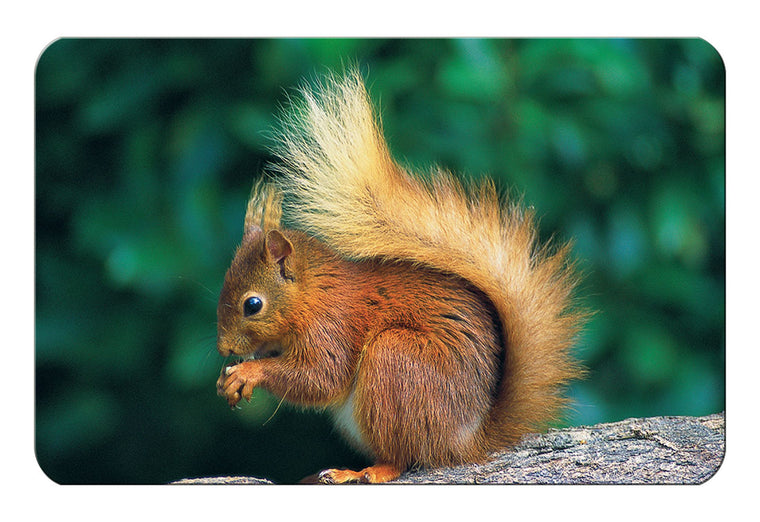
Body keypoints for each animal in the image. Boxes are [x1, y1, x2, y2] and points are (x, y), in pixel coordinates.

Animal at [216, 70, 585, 484]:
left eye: (252, 305)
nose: (224, 348)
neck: (313, 294)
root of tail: (464, 441)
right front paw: (228, 378)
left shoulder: (331, 327)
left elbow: (321, 377)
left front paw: (248, 371)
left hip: (394, 362)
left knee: (404, 458)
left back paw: (364, 472)